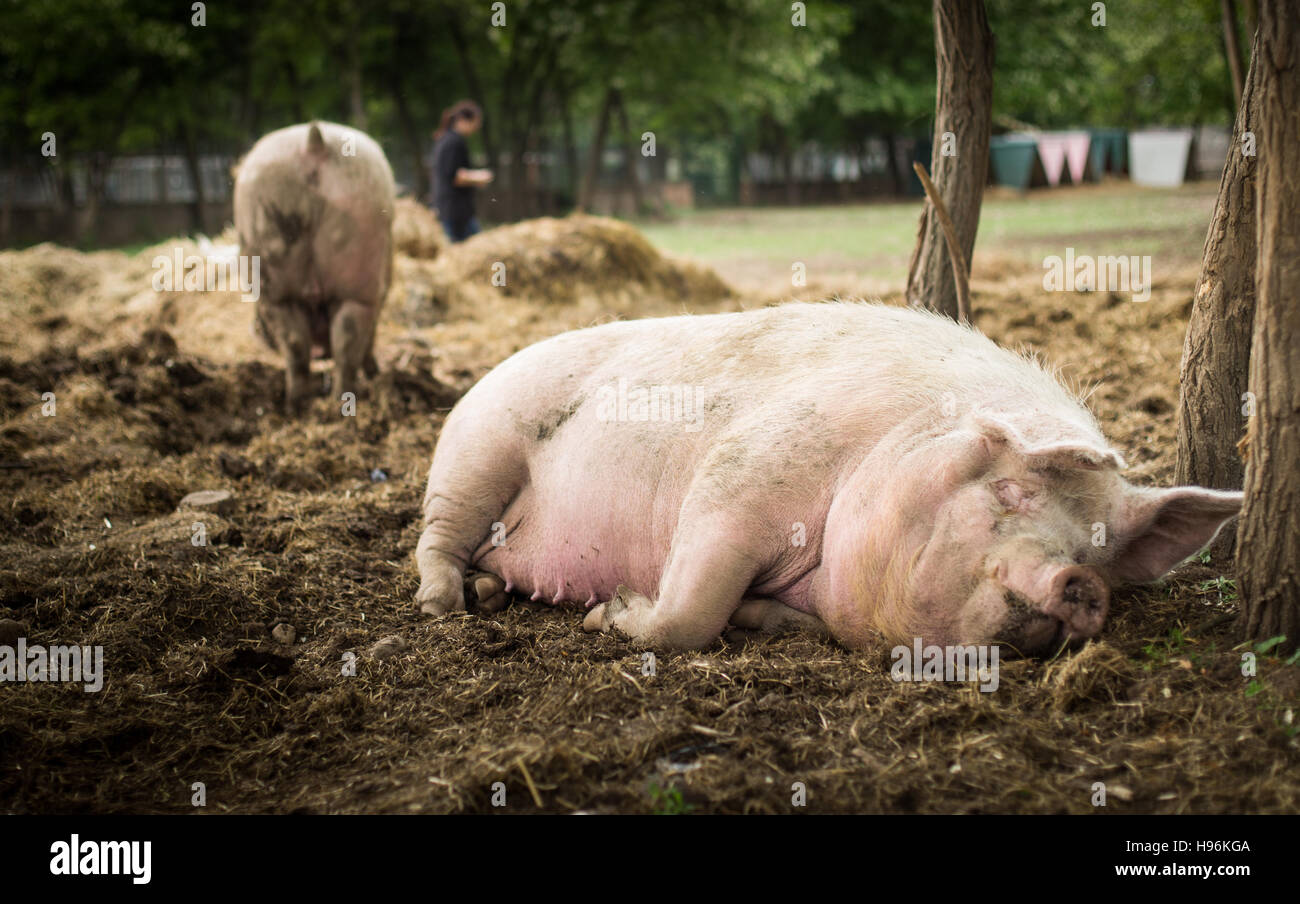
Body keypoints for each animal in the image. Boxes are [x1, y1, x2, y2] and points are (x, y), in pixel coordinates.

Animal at [234, 121, 396, 413]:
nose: (256, 329)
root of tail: (312, 143)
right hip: (355, 278)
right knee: (340, 339)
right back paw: (336, 404)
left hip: (271, 265)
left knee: (298, 343)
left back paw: (299, 405)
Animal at [414, 302, 1242, 656]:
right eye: (1010, 492)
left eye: (1098, 549)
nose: (1079, 582)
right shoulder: (741, 477)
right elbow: (691, 610)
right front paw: (606, 618)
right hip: (474, 454)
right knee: (435, 540)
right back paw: (445, 605)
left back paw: (490, 592)